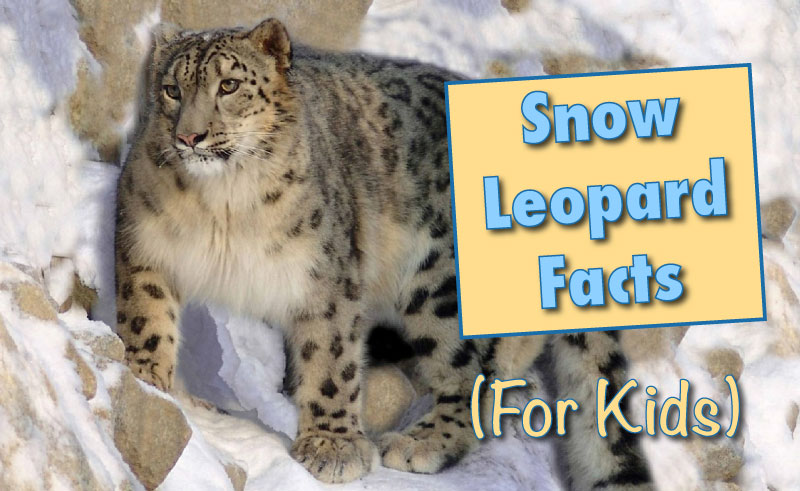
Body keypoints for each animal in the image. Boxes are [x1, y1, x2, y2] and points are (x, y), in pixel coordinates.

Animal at [114, 18, 653, 489]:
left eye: (228, 85)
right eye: (172, 89)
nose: (189, 136)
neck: (222, 207)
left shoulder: (326, 277)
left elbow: (331, 361)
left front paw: (332, 446)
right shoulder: (143, 242)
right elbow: (146, 315)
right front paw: (148, 380)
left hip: (442, 288)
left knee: (473, 376)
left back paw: (422, 442)